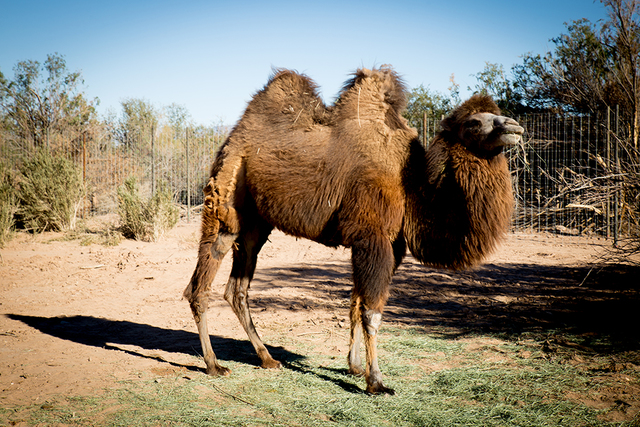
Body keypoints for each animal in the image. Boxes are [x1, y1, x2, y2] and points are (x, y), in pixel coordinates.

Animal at [183, 66, 523, 395]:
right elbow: (371, 312)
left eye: (496, 113)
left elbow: (356, 302)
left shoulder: (389, 245)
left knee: (237, 289)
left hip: (256, 225)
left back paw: (267, 358)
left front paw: (355, 366)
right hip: (226, 199)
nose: (514, 126)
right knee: (200, 283)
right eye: (474, 123)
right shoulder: (372, 238)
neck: (412, 187)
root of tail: (232, 139)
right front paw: (376, 382)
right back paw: (214, 365)